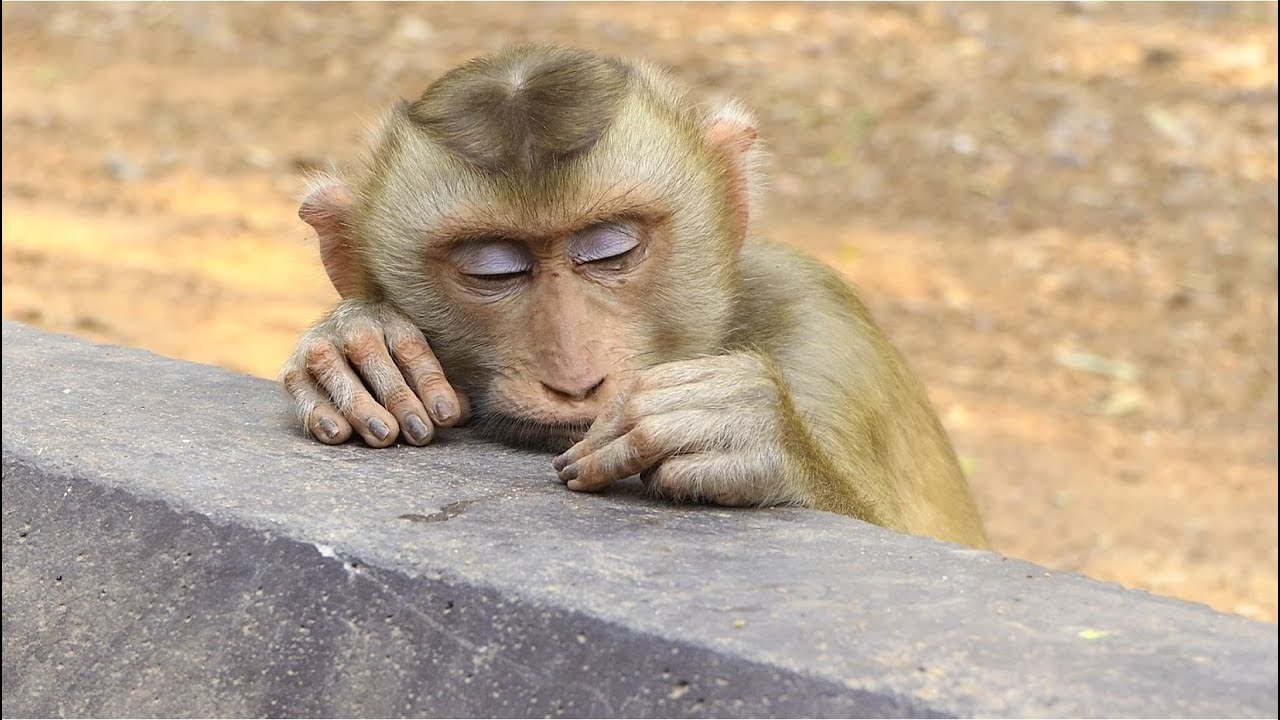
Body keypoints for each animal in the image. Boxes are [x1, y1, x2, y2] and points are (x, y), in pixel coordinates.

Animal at [278, 44, 990, 549]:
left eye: (609, 249)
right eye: (494, 270)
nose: (574, 382)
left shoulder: (824, 332)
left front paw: (745, 429)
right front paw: (358, 343)